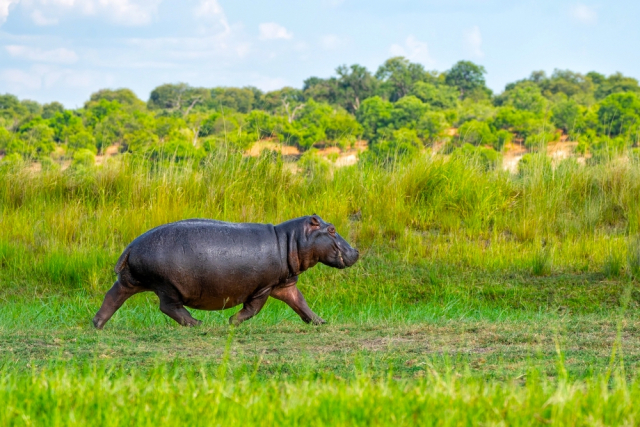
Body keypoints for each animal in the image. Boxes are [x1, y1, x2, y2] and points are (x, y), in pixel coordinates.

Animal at [93, 215, 359, 329]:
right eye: (332, 229)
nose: (356, 251)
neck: (290, 240)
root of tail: (130, 246)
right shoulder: (264, 286)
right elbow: (253, 308)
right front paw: (232, 321)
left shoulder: (285, 284)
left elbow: (301, 303)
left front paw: (320, 321)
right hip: (167, 286)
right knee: (169, 307)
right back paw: (197, 323)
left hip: (130, 280)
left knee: (113, 296)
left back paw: (97, 324)